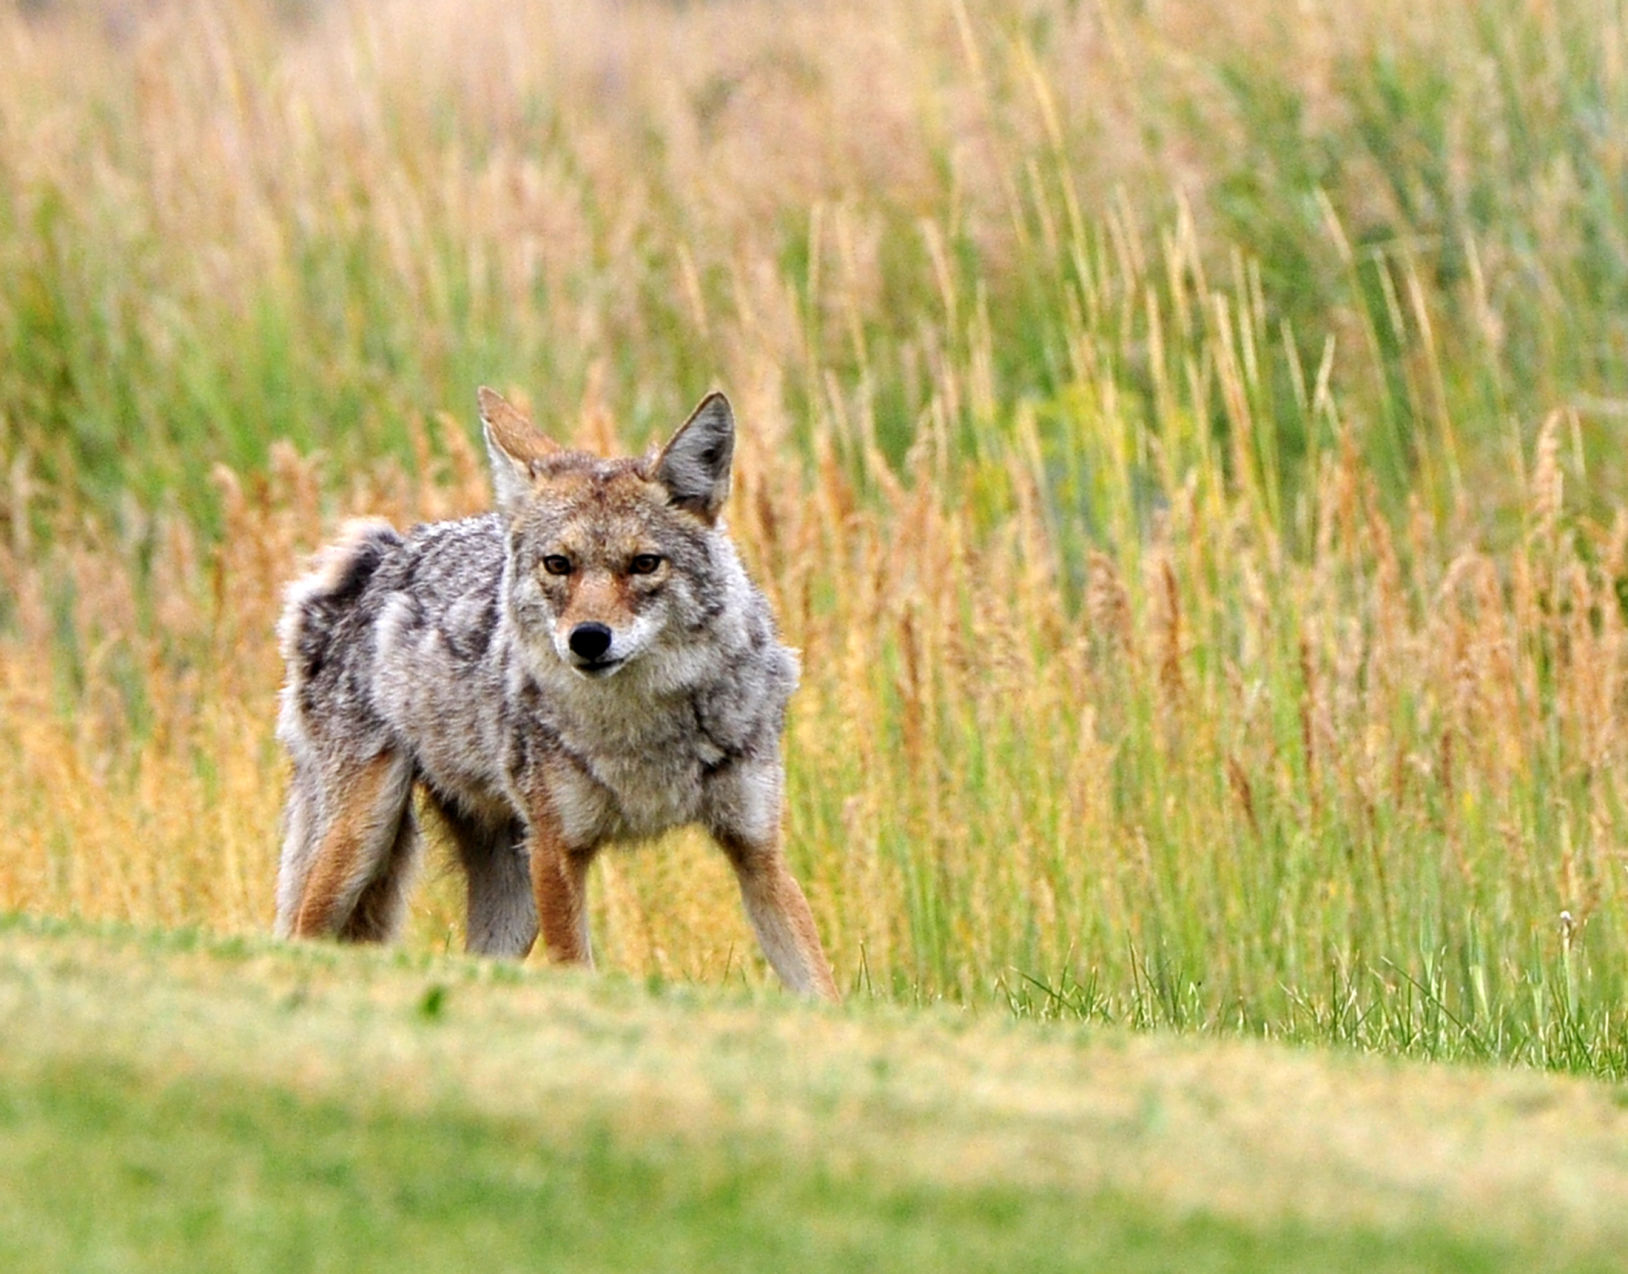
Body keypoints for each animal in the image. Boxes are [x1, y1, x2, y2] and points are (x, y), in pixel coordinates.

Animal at [273, 387, 839, 1000]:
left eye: (644, 564)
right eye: (558, 565)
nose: (588, 638)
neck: (639, 732)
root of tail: (376, 556)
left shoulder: (759, 852)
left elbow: (819, 982)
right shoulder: (557, 852)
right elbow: (574, 967)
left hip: (509, 908)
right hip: (362, 841)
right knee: (299, 931)